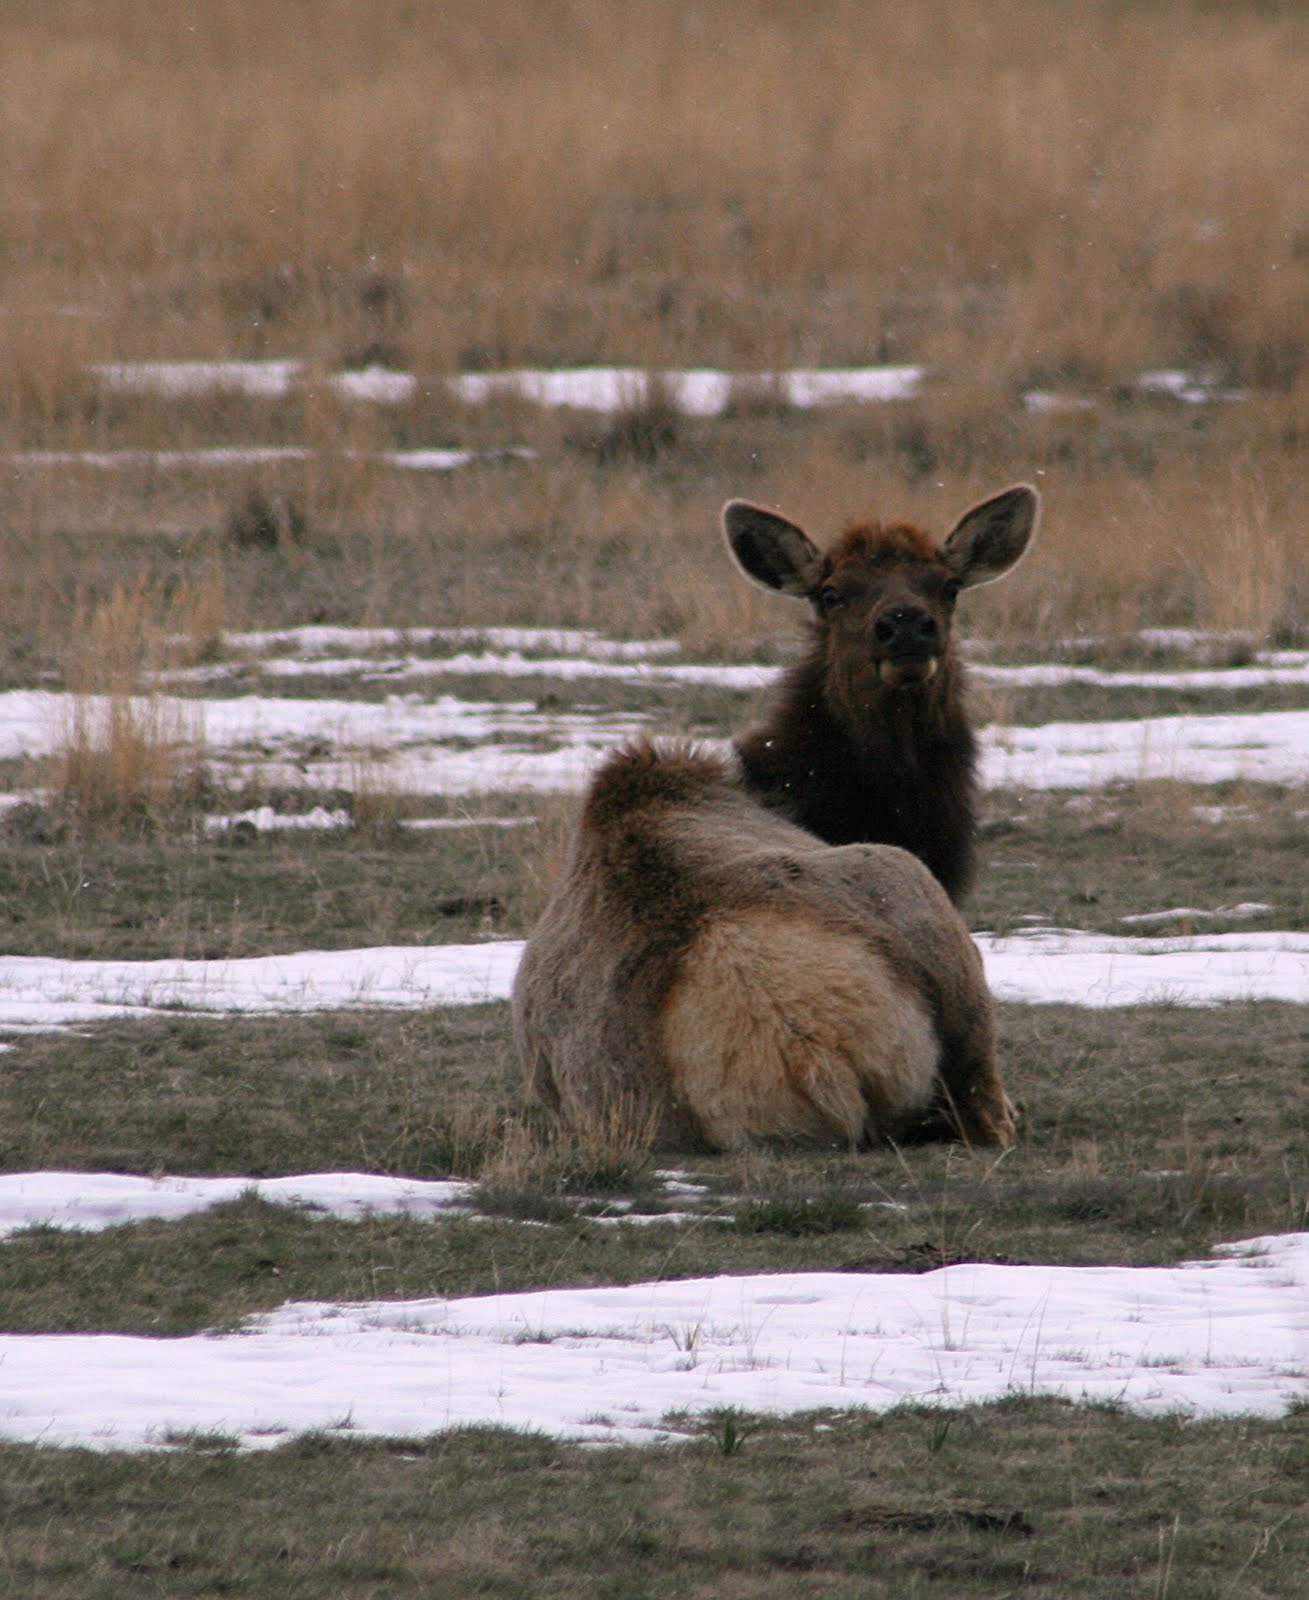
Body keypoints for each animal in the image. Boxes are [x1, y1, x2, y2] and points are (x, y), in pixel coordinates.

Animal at [511, 484, 1037, 1152]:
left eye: (948, 586)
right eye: (830, 593)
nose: (904, 627)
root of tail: (803, 1042)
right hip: (922, 912)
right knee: (982, 1104)